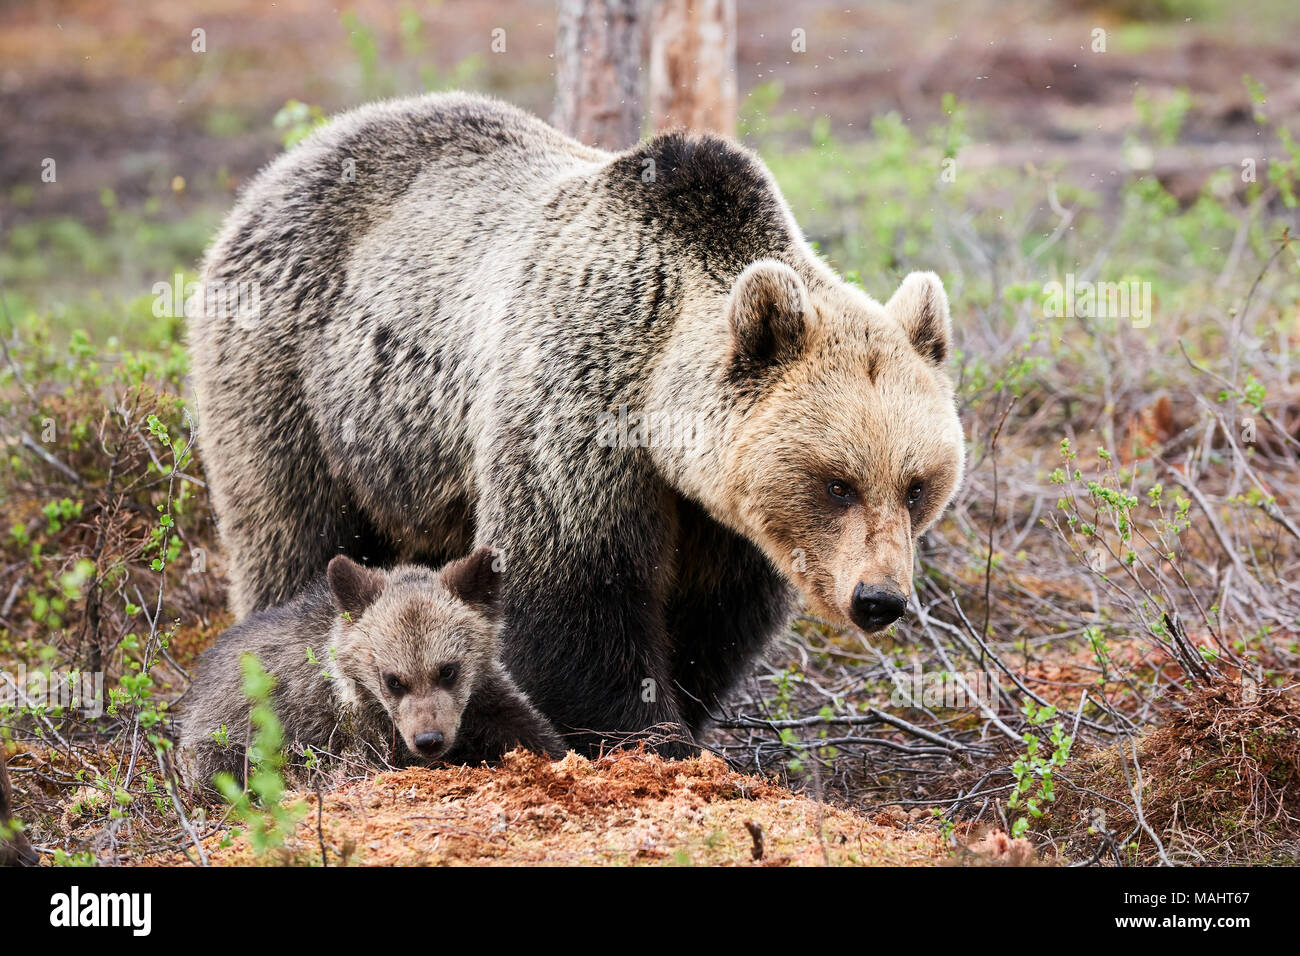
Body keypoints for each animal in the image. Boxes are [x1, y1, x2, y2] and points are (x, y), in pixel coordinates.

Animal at [178, 547, 565, 788]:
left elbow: (527, 728)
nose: (429, 740)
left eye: (448, 670)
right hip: (225, 739)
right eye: (393, 680)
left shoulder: (483, 695)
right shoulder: (356, 728)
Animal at [189, 92, 966, 757]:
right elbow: (571, 594)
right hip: (294, 381)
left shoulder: (723, 520)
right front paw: (655, 743)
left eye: (917, 485)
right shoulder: (575, 410)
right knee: (292, 533)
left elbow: (709, 623)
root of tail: (286, 162)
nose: (880, 599)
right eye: (837, 482)